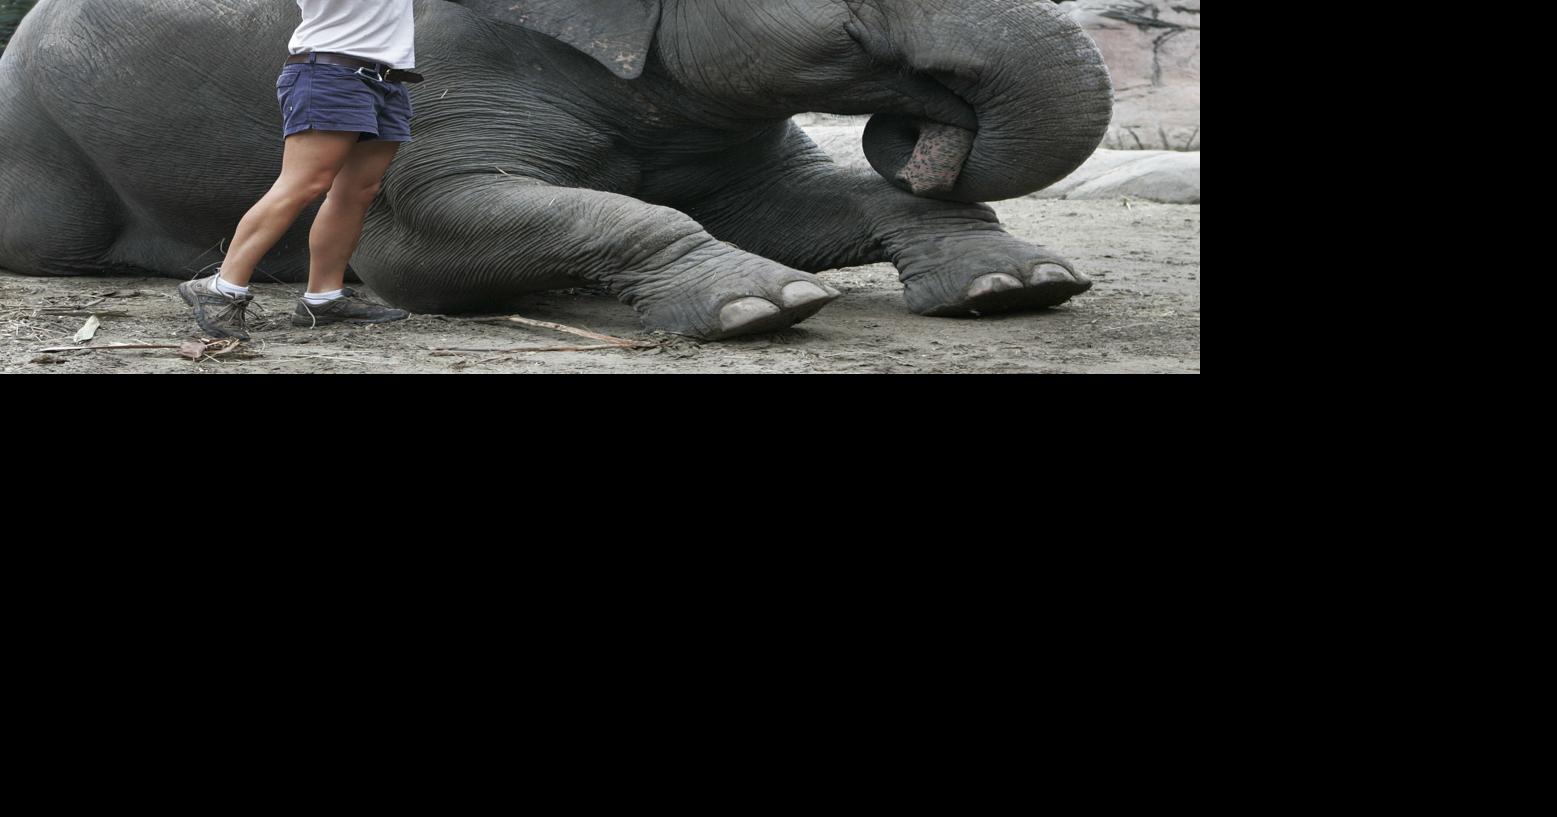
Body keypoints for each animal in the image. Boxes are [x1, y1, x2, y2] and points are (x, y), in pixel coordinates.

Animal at [0, 0, 1113, 340]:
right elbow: (419, 247)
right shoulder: (454, 60)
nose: (919, 125)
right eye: (849, 22)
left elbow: (785, 203)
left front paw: (1021, 286)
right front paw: (765, 307)